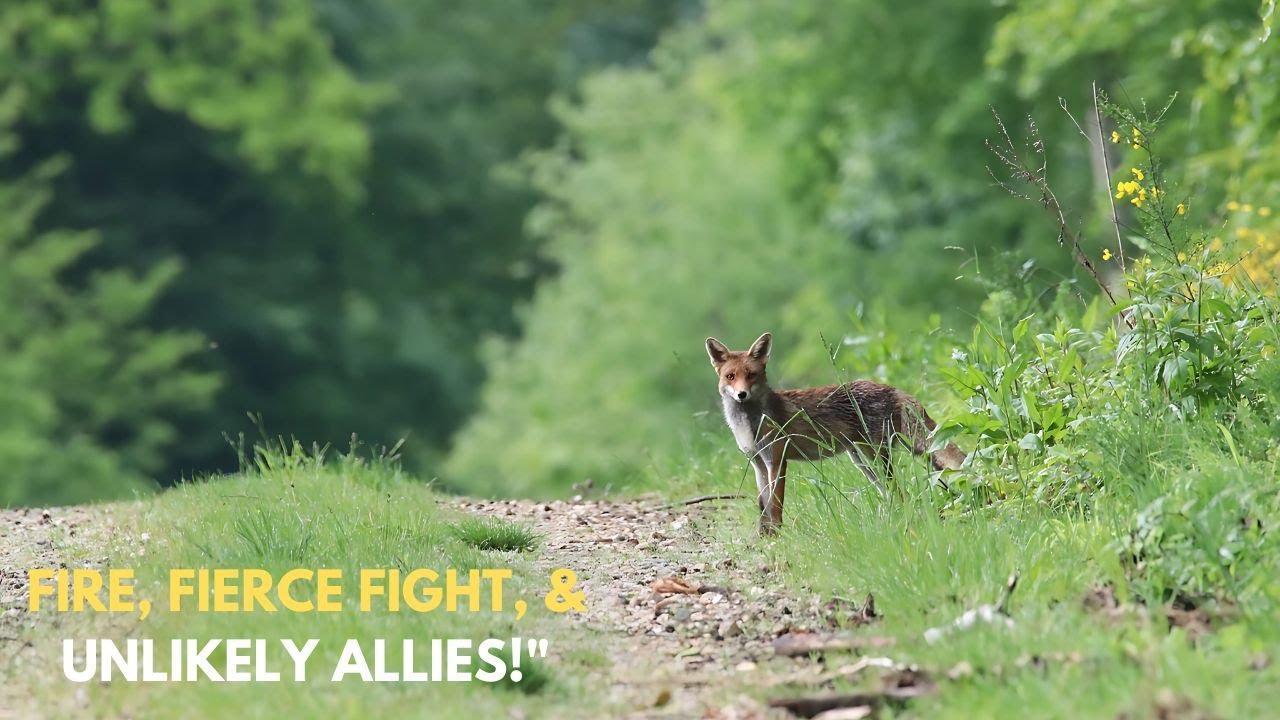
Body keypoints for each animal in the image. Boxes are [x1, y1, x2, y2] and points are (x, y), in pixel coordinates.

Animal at [705, 332, 966, 534]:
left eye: (751, 375)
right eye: (730, 377)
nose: (741, 395)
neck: (750, 424)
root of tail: (891, 388)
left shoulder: (777, 461)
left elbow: (776, 507)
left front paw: (778, 537)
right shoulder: (758, 463)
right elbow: (763, 507)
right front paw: (764, 537)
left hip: (874, 457)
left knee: (899, 491)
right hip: (862, 462)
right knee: (893, 493)